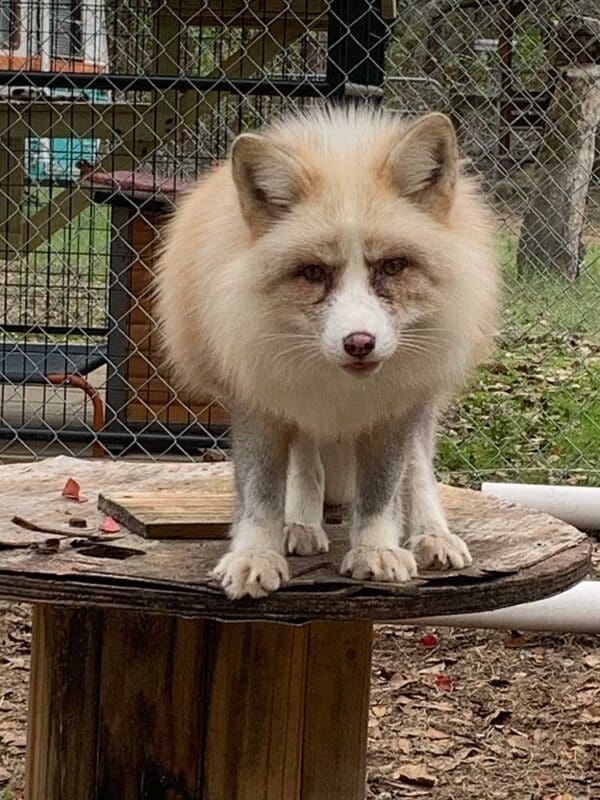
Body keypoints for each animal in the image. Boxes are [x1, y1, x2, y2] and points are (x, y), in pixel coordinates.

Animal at [156, 105, 498, 600]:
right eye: (314, 273)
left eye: (393, 266)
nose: (359, 343)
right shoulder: (258, 399)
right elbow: (260, 496)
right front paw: (255, 556)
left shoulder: (394, 408)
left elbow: (382, 492)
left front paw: (376, 550)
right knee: (306, 462)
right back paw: (300, 524)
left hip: (423, 394)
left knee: (418, 468)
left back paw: (432, 534)